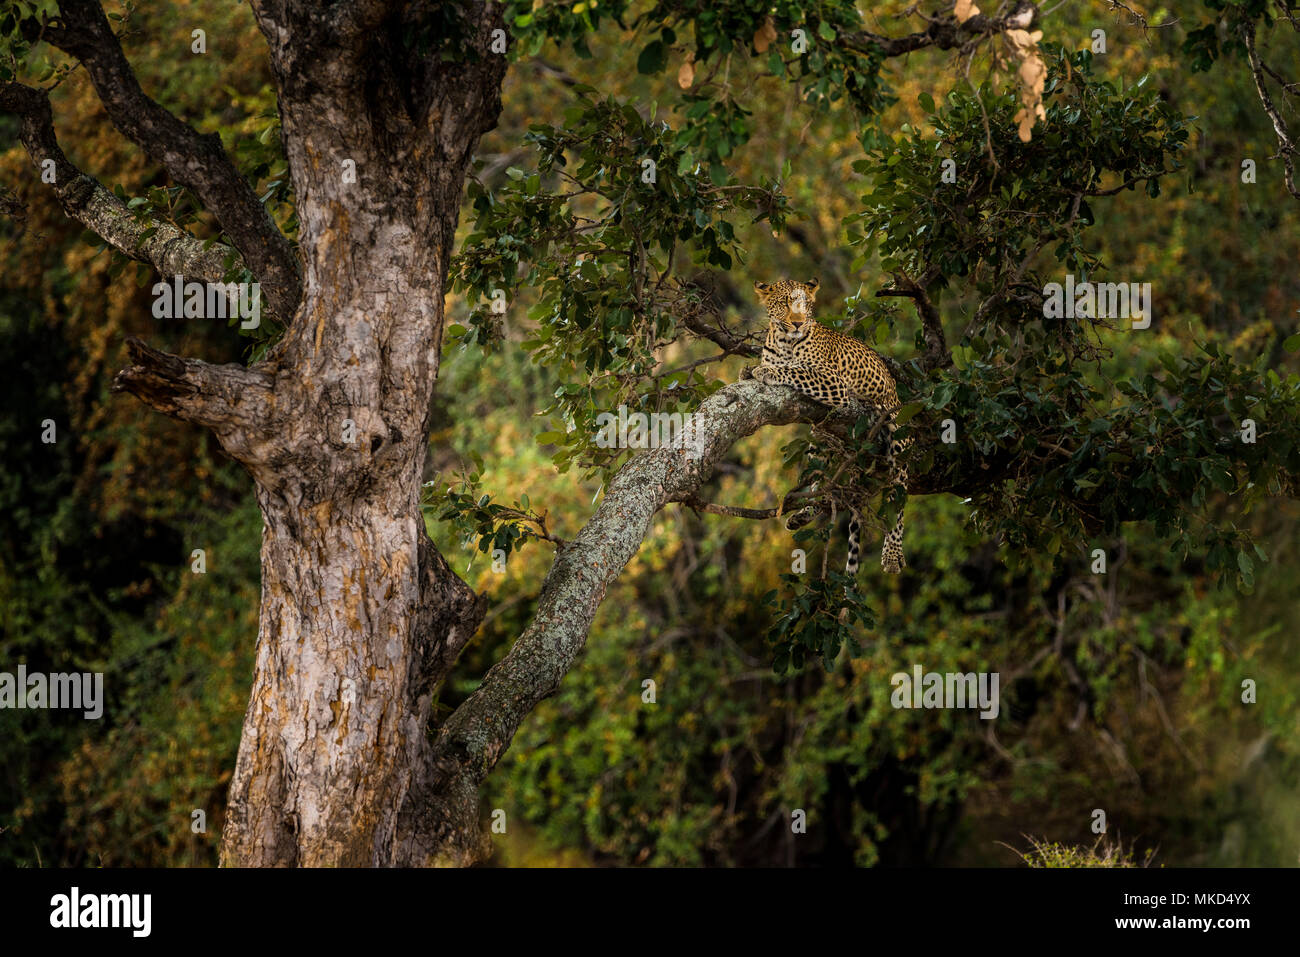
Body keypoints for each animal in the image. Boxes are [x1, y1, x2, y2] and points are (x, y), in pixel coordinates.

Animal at [747, 277, 909, 575]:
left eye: (805, 304)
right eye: (784, 302)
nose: (798, 323)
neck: (784, 341)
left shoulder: (832, 381)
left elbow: (796, 370)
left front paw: (768, 371)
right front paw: (751, 369)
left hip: (898, 438)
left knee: (898, 498)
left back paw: (892, 555)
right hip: (821, 436)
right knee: (818, 480)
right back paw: (802, 515)